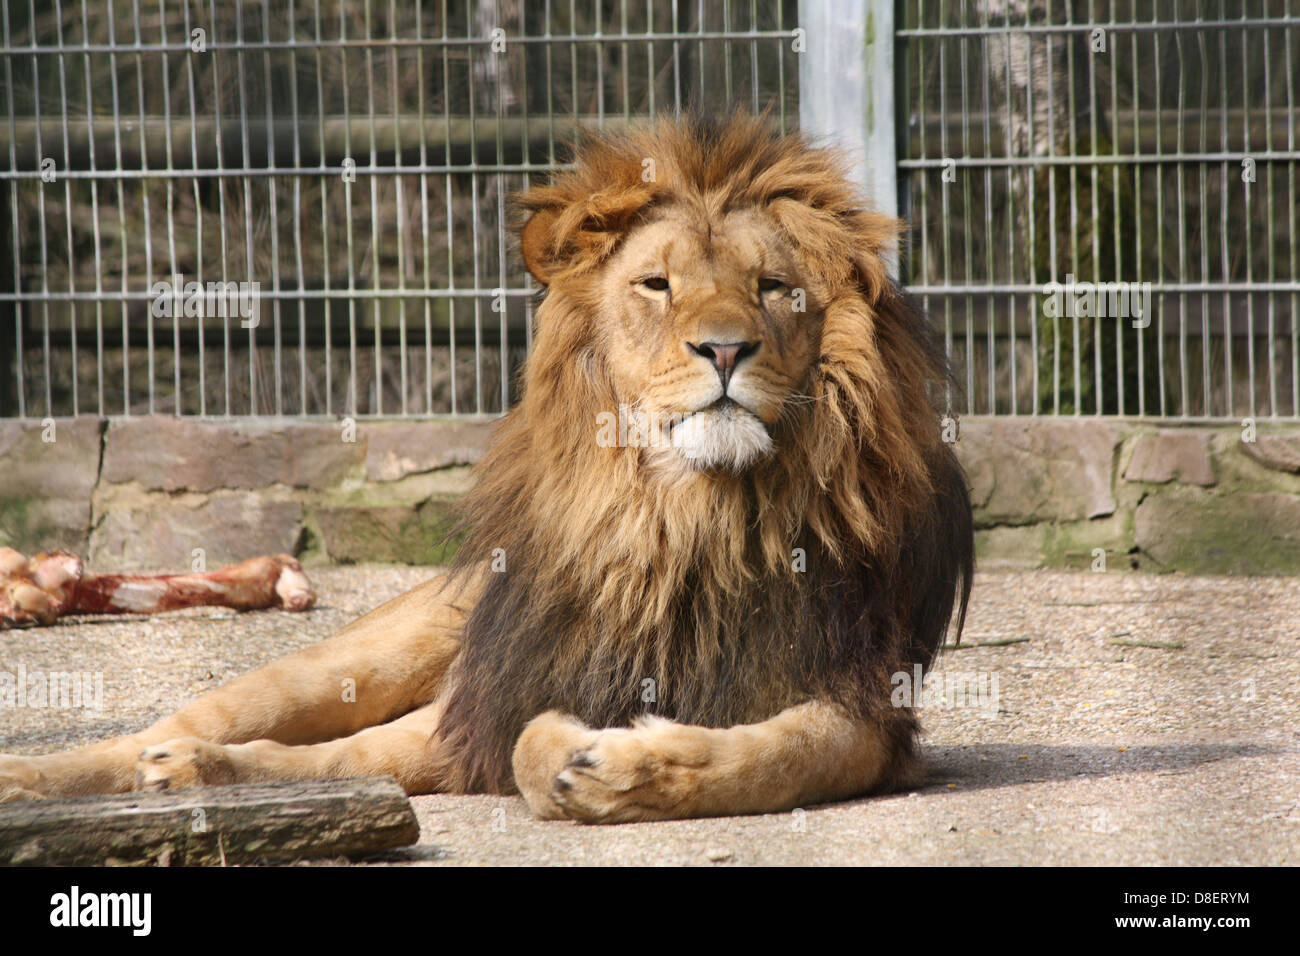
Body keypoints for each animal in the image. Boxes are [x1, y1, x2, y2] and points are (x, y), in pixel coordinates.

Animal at [0, 115, 973, 823]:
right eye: (656, 285)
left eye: (773, 287)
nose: (726, 348)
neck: (682, 514)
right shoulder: (495, 692)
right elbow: (372, 752)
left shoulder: (862, 703)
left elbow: (769, 757)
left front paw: (613, 764)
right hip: (385, 644)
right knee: (191, 720)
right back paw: (68, 772)